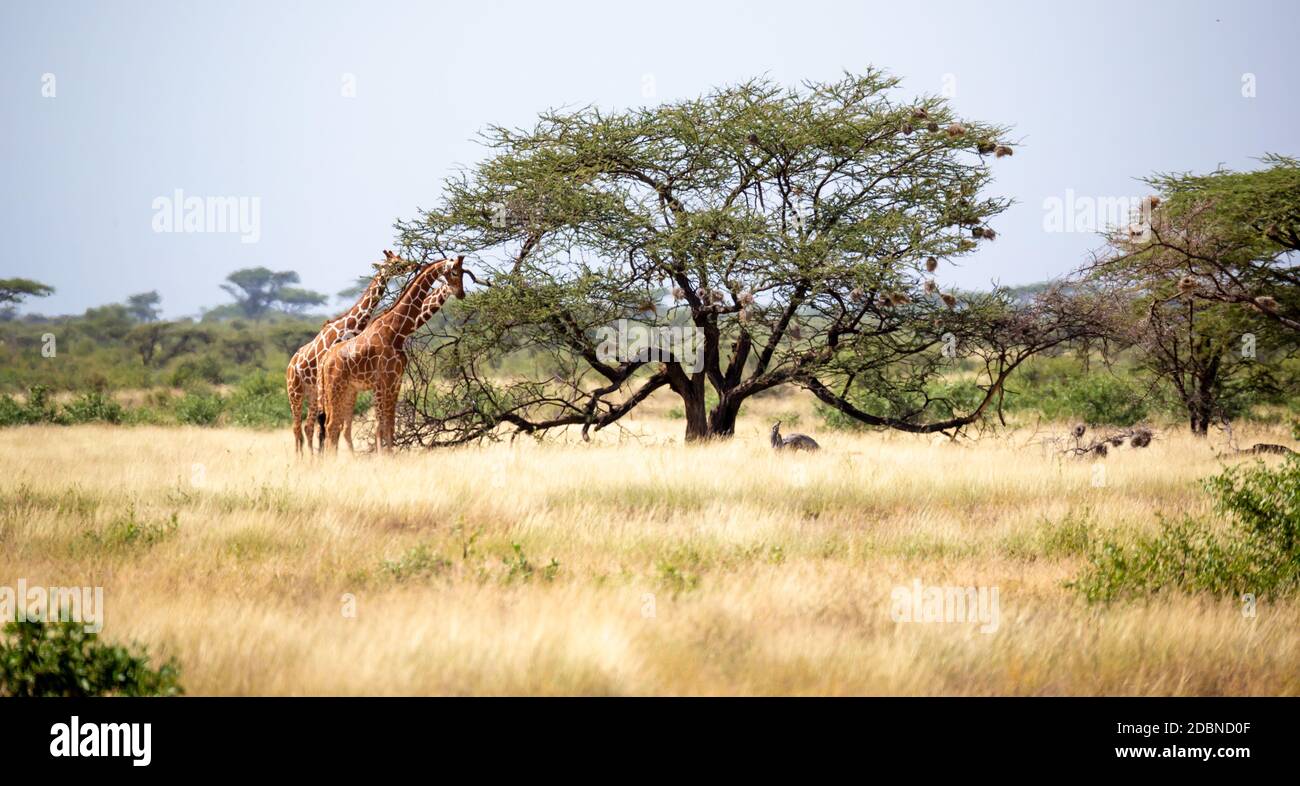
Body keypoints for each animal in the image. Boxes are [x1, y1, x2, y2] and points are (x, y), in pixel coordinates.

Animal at [284, 253, 392, 455]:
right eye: (394, 263)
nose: (411, 264)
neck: (347, 327)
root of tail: (290, 365)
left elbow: (332, 423)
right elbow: (328, 422)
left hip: (311, 393)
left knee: (307, 426)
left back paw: (311, 456)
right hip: (295, 391)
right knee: (297, 427)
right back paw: (300, 457)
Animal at [319, 255, 465, 455]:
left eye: (464, 272)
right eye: (454, 272)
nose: (461, 294)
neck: (397, 331)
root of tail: (325, 360)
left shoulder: (396, 380)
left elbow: (390, 423)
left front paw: (390, 454)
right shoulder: (383, 381)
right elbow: (381, 424)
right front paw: (383, 455)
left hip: (346, 391)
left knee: (336, 426)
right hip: (336, 388)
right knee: (332, 425)